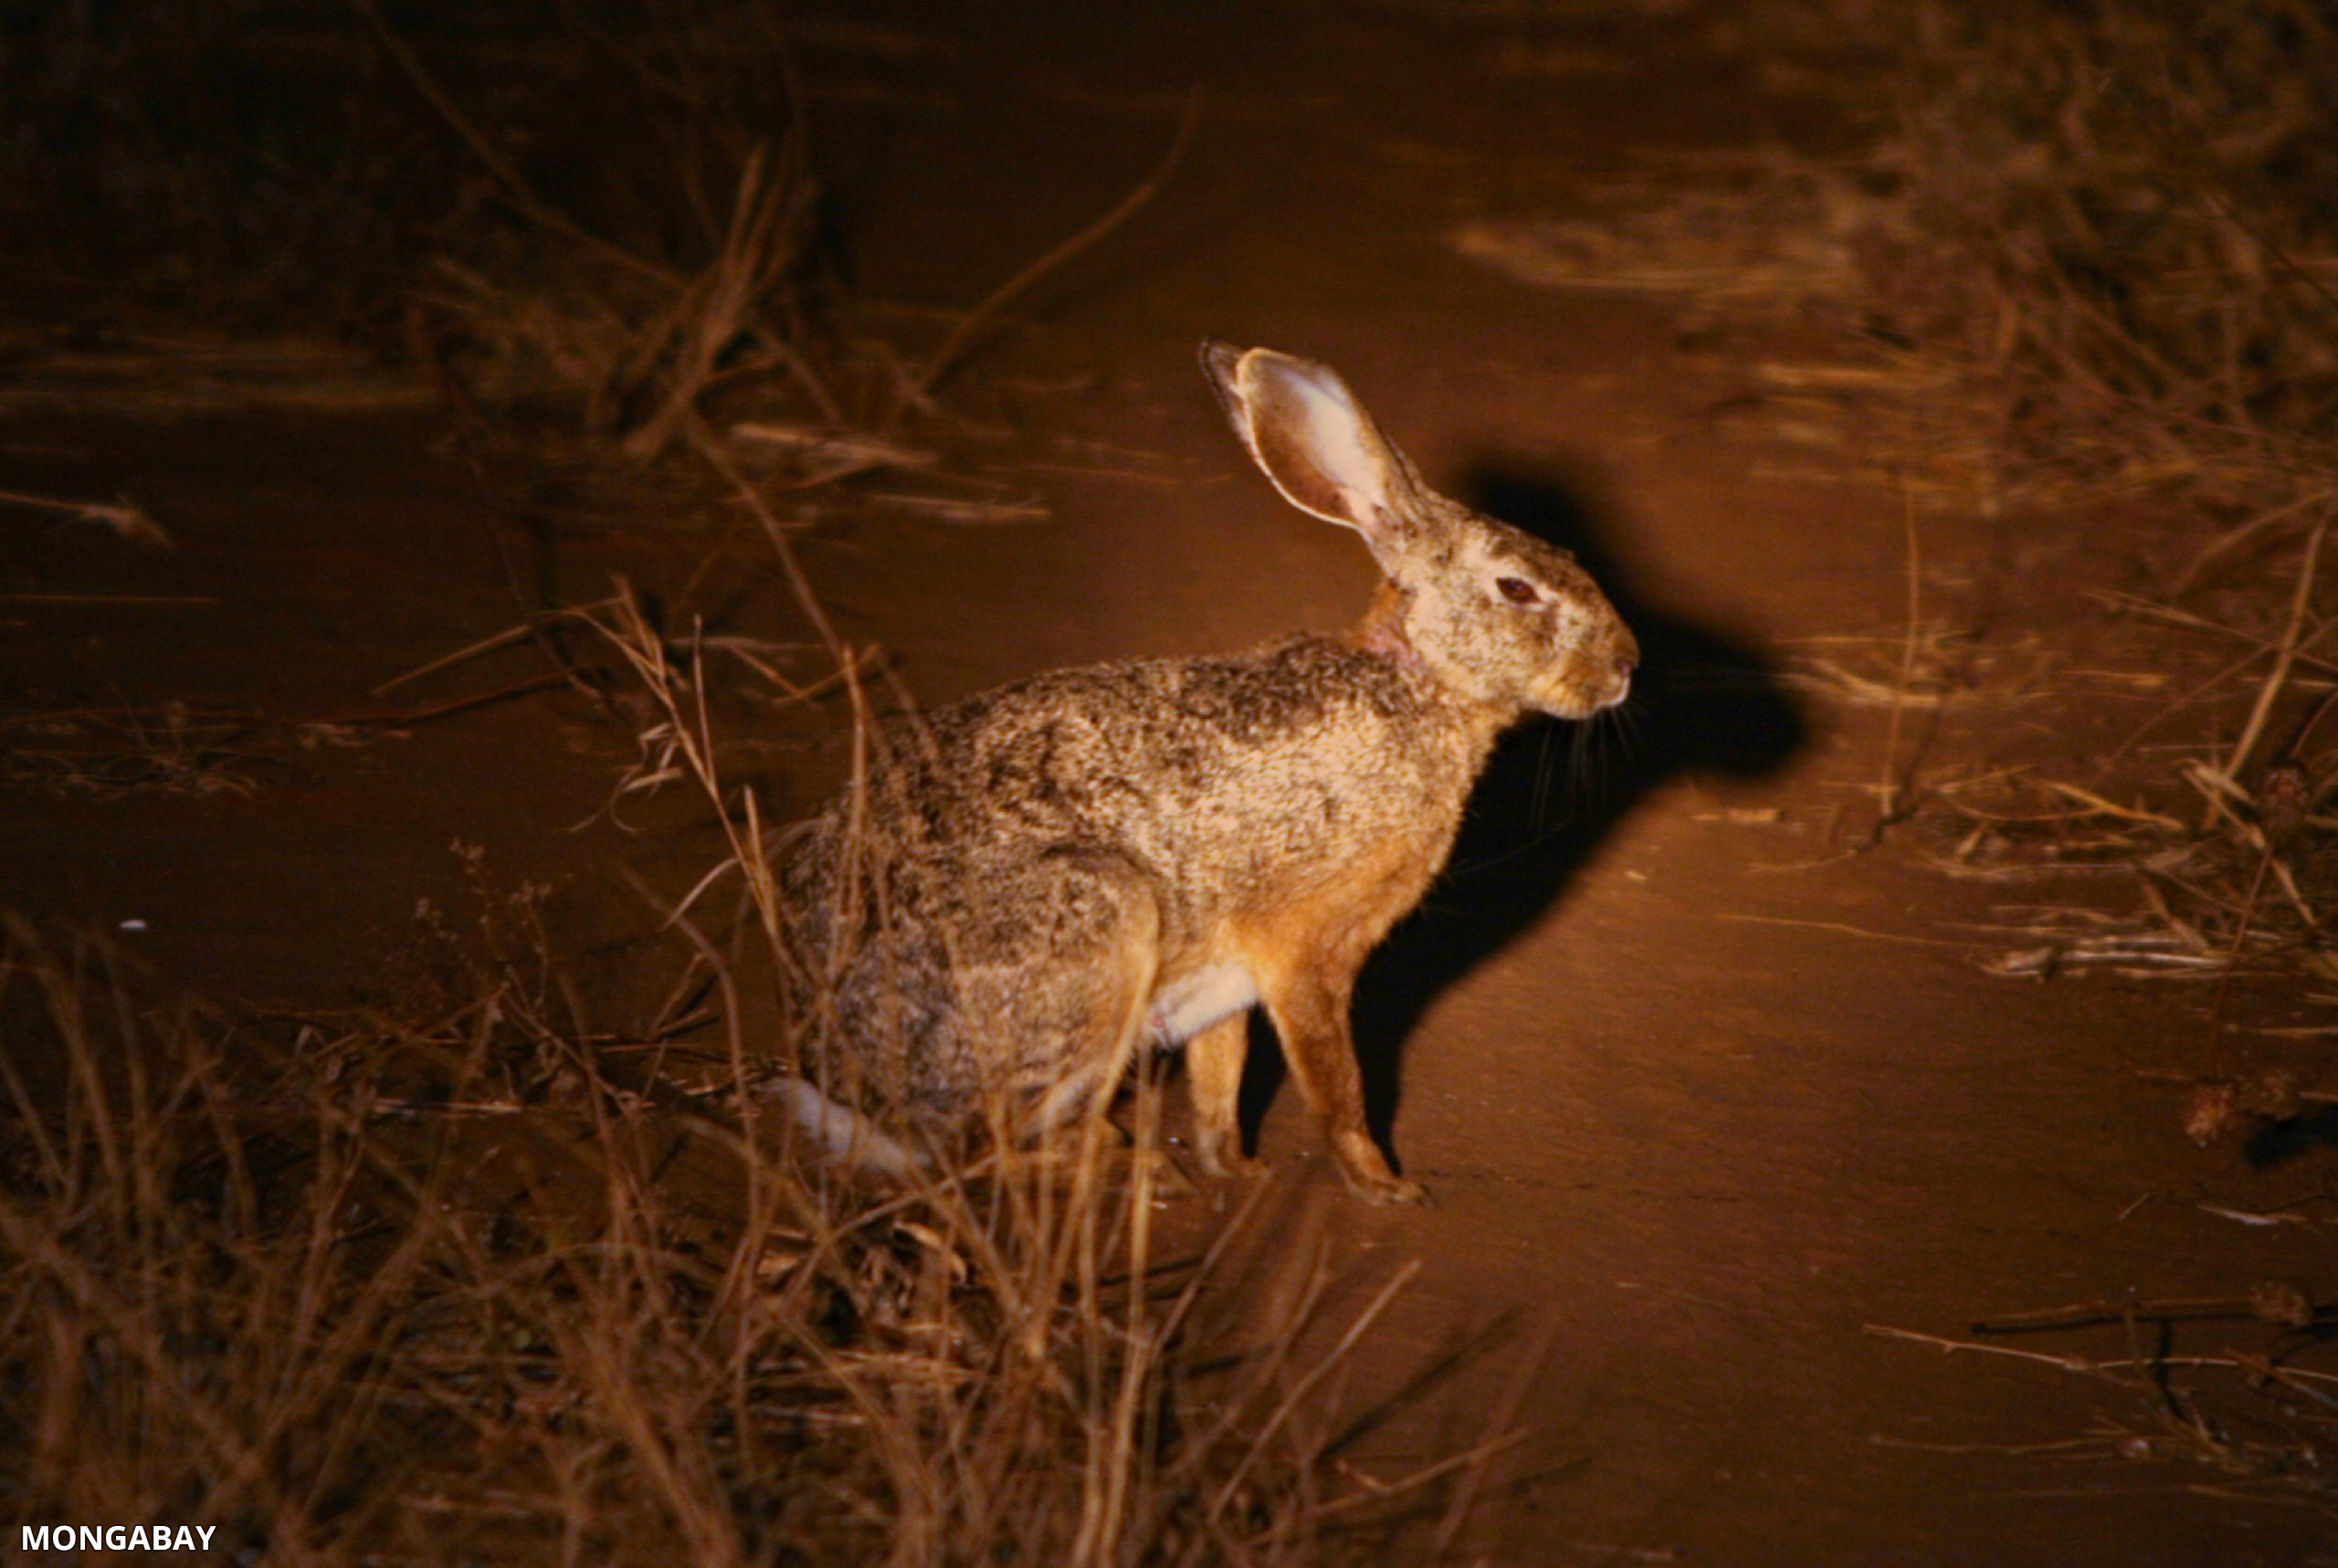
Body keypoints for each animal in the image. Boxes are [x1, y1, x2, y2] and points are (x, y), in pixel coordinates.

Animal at [776, 340, 1637, 1203]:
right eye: (1517, 588)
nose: (1627, 665)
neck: (1417, 680)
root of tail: (844, 1092)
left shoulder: (1230, 981)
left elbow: (1221, 1072)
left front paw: (1239, 1166)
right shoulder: (1306, 951)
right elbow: (1335, 1080)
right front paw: (1383, 1184)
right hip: (1099, 928)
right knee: (970, 1152)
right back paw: (1127, 1164)